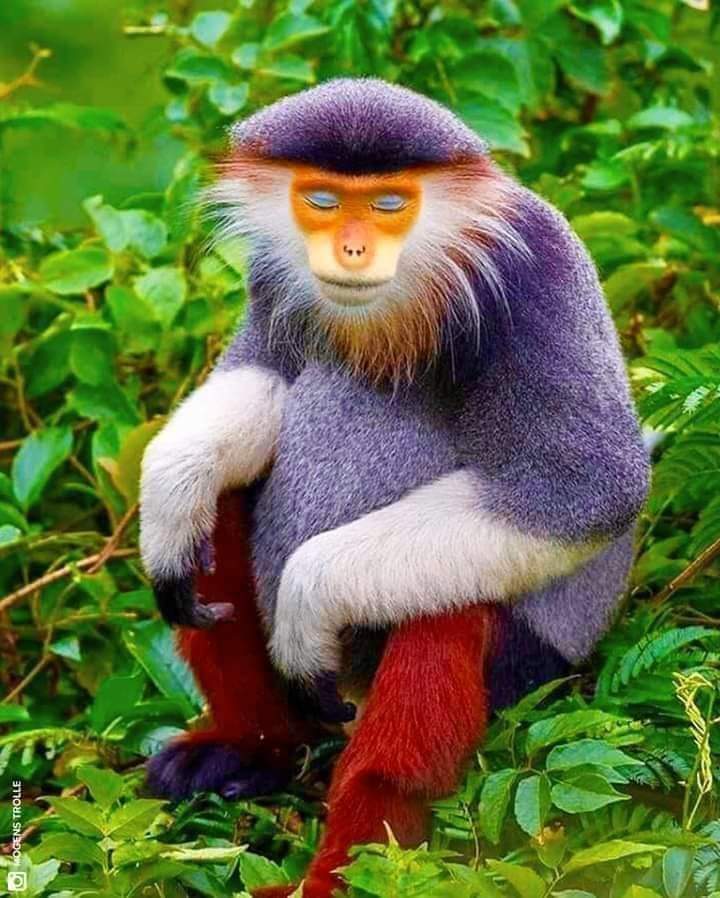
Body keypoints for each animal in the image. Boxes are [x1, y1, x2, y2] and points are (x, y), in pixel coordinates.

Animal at [140, 79, 649, 898]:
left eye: (388, 206)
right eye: (321, 200)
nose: (352, 249)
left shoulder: (536, 275)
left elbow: (587, 488)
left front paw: (308, 597)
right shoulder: (271, 276)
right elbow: (263, 373)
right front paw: (171, 490)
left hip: (526, 675)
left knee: (443, 616)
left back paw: (349, 870)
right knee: (220, 513)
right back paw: (254, 749)